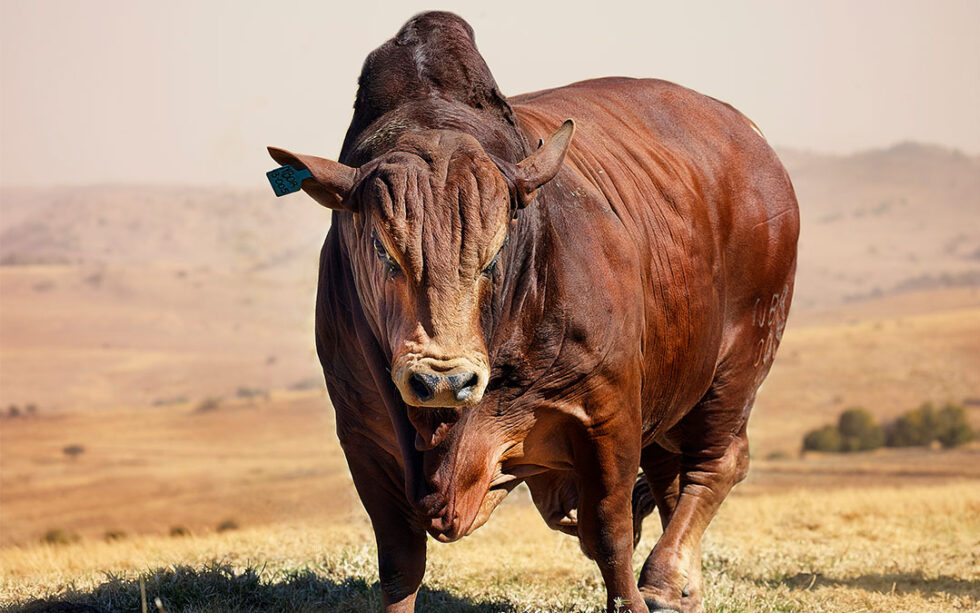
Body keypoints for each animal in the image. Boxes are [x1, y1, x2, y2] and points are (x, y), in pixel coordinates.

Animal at [266, 11, 799, 613]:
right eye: (383, 250)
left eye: (496, 252)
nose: (443, 380)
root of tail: (751, 137)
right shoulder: (363, 434)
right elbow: (400, 562)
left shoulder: (607, 413)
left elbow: (610, 534)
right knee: (670, 472)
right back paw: (684, 586)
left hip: (741, 357)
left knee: (715, 464)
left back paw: (666, 579)